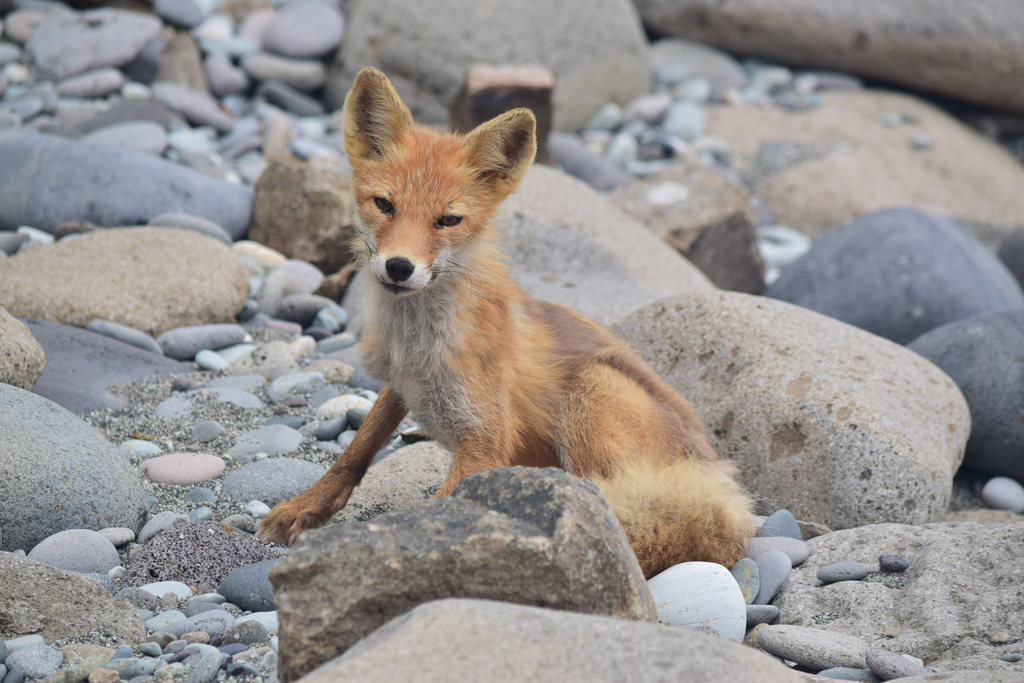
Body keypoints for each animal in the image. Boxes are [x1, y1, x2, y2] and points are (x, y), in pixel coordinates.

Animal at [257, 67, 754, 578]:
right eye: (384, 205)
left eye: (447, 220)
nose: (399, 267)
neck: (418, 344)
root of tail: (724, 486)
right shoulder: (399, 385)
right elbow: (356, 450)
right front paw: (308, 506)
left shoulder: (485, 441)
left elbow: (442, 504)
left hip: (594, 391)